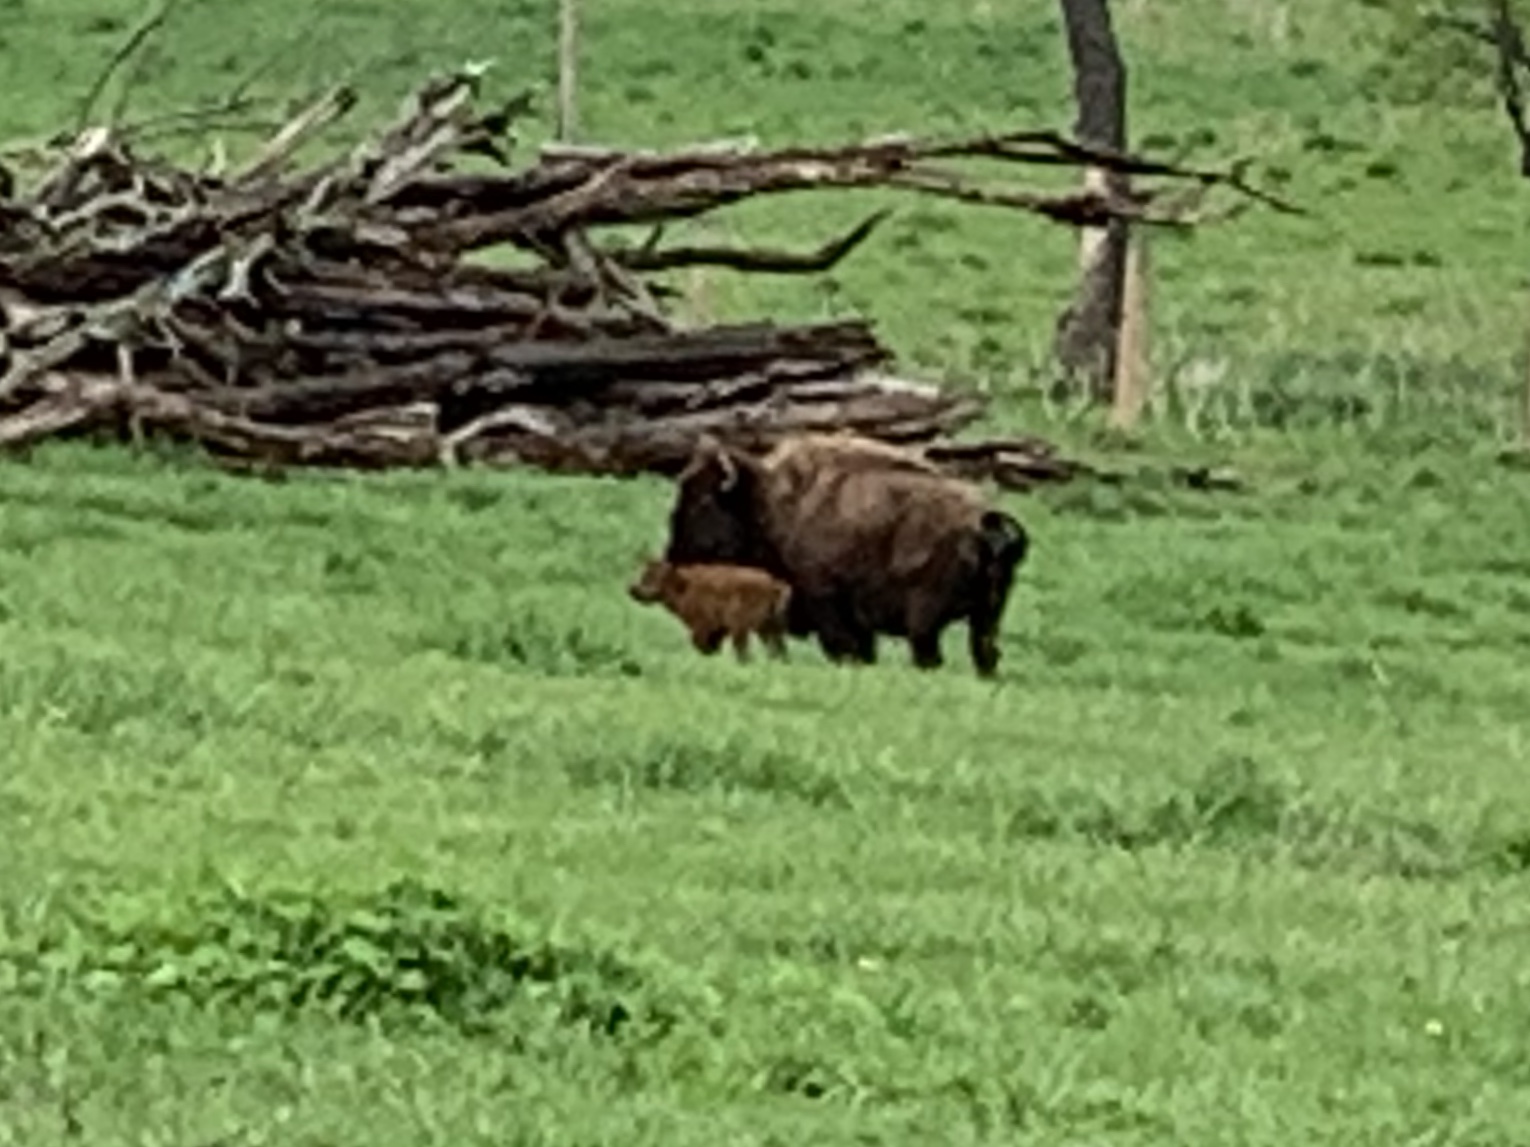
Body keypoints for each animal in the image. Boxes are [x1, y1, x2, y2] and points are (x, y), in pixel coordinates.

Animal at [662, 432, 1030, 677]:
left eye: (704, 502)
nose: (672, 558)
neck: (768, 506)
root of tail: (984, 525)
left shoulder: (825, 600)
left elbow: (841, 644)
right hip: (987, 617)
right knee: (986, 653)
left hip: (925, 621)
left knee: (929, 653)